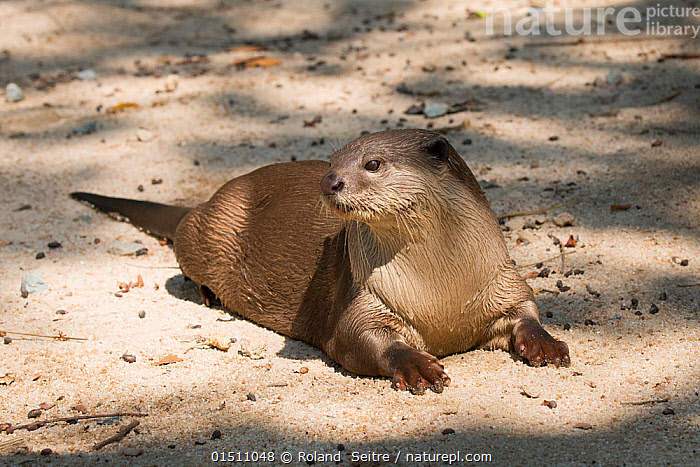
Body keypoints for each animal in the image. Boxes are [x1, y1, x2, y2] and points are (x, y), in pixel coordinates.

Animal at [72, 129, 569, 394]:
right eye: (332, 161)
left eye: (373, 163)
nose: (330, 181)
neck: (442, 289)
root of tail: (209, 199)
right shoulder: (361, 300)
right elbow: (363, 339)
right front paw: (420, 367)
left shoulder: (502, 278)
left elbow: (527, 310)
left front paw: (546, 345)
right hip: (208, 230)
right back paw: (210, 295)